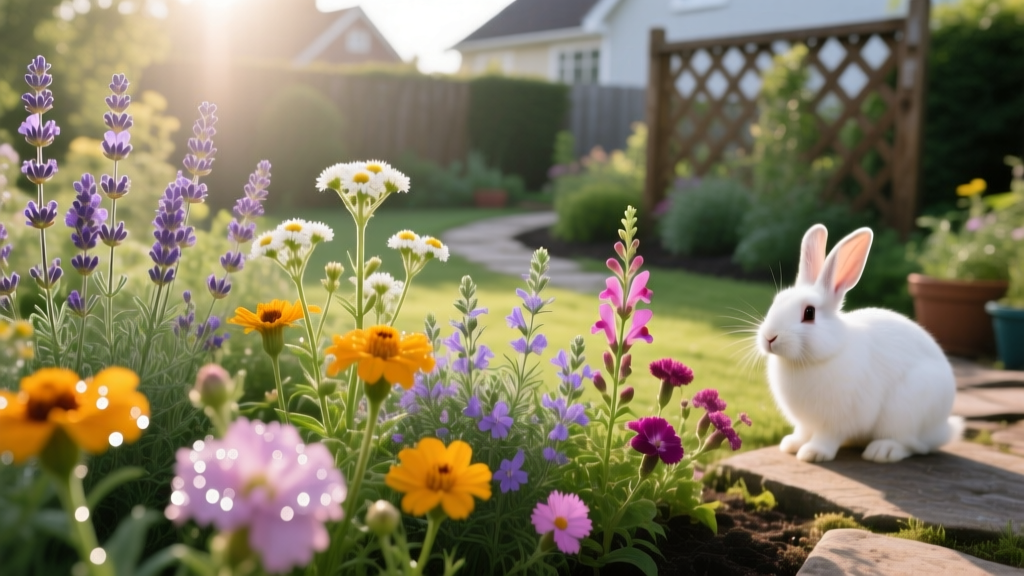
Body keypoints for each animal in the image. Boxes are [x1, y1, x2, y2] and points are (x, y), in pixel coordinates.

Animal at [756, 224, 960, 463]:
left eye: (809, 313)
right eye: (776, 302)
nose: (770, 337)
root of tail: (944, 429)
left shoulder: (836, 420)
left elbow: (827, 436)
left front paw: (812, 453)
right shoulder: (805, 422)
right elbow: (803, 431)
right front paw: (791, 444)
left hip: (906, 411)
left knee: (913, 445)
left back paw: (882, 451)